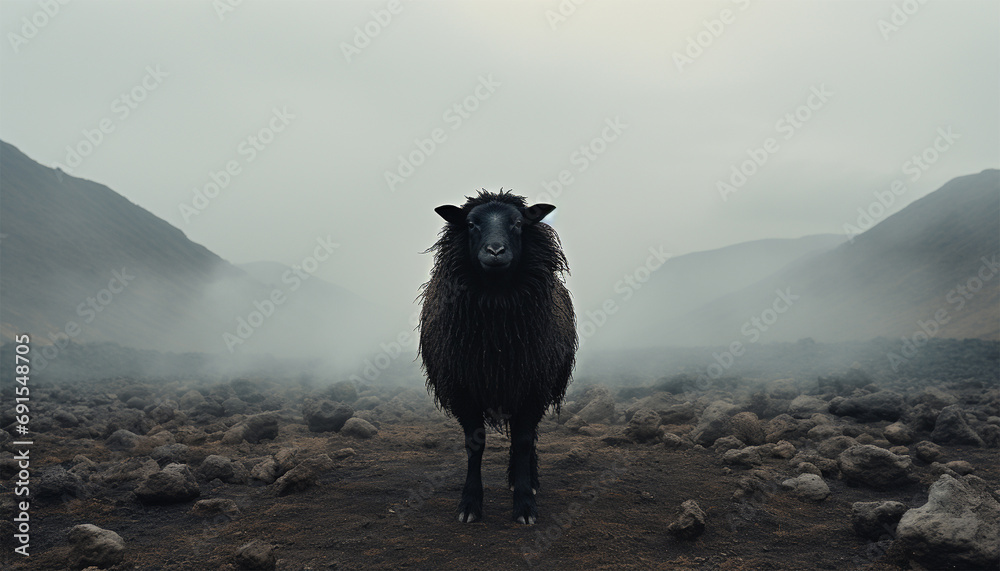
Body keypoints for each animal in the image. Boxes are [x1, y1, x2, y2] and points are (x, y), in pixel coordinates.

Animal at [418, 189, 577, 525]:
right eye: (471, 224)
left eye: (517, 223)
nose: (495, 250)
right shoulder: (463, 388)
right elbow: (474, 445)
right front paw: (469, 504)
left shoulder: (533, 387)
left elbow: (523, 440)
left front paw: (525, 504)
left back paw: (526, 480)